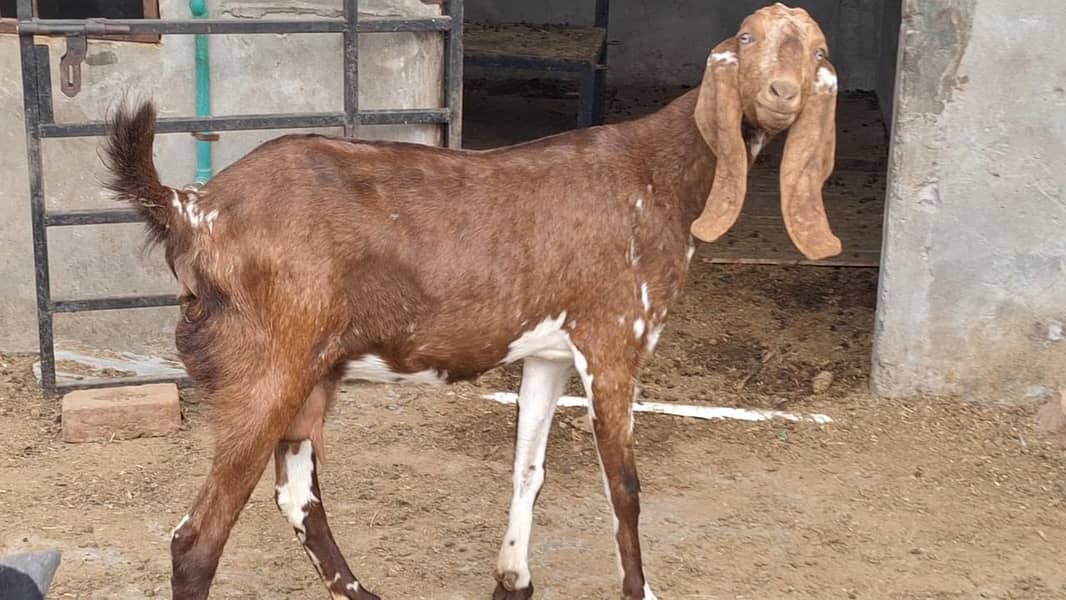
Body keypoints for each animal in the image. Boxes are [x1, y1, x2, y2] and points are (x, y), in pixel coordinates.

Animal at [103, 4, 839, 599]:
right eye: (747, 38)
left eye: (817, 50)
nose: (780, 94)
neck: (657, 176)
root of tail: (191, 207)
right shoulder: (614, 341)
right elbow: (625, 487)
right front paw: (641, 591)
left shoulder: (549, 353)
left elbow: (529, 468)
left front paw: (514, 578)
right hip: (264, 368)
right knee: (198, 538)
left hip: (310, 372)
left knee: (297, 497)